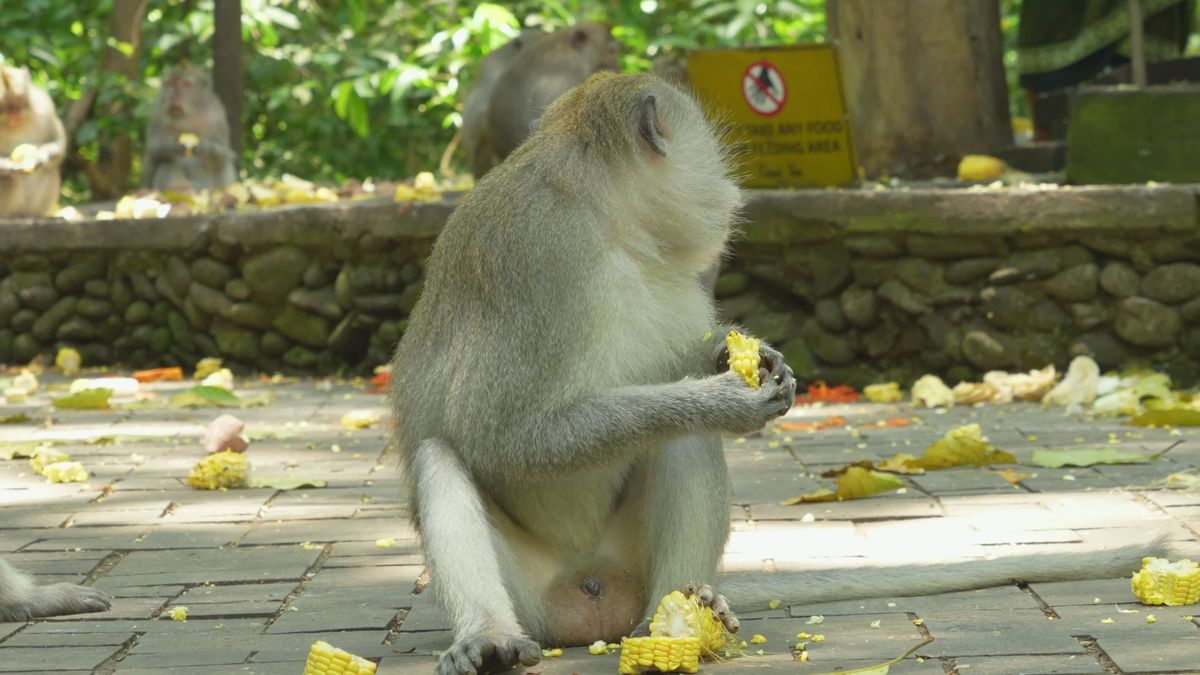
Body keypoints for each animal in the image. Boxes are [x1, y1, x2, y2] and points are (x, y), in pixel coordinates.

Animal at [0, 66, 66, 217]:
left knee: (50, 170)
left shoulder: (45, 109)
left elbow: (58, 141)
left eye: (18, 100)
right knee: (9, 181)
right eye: (6, 104)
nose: (14, 113)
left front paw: (42, 156)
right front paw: (7, 166)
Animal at [143, 63, 237, 192]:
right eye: (170, 84)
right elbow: (153, 150)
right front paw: (174, 146)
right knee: (166, 163)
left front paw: (206, 147)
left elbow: (223, 153)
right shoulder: (159, 112)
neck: (189, 115)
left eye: (185, 85)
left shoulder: (217, 113)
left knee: (224, 164)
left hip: (207, 187)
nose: (174, 96)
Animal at [391, 72, 1163, 675]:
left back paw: (684, 609)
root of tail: (590, 600)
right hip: (530, 592)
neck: (614, 227)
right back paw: (491, 636)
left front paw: (751, 359)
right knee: (442, 456)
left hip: (628, 566)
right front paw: (719, 397)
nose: (730, 188)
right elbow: (505, 432)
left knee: (678, 452)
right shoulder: (542, 260)